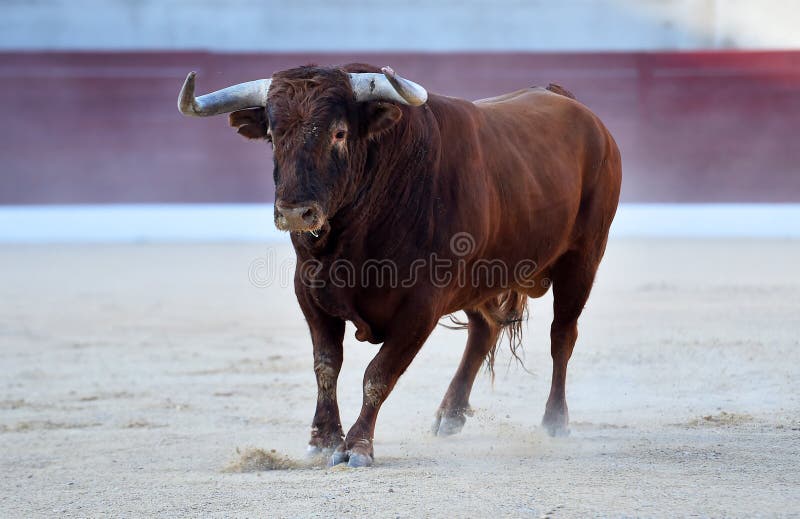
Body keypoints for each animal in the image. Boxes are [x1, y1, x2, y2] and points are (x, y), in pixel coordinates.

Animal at [178, 63, 621, 468]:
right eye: (272, 135)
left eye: (339, 133)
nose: (294, 212)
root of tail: (576, 109)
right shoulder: (310, 293)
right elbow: (326, 366)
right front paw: (322, 440)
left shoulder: (421, 306)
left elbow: (378, 374)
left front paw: (356, 447)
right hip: (481, 276)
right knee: (484, 330)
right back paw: (449, 415)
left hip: (583, 258)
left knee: (562, 335)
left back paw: (555, 421)